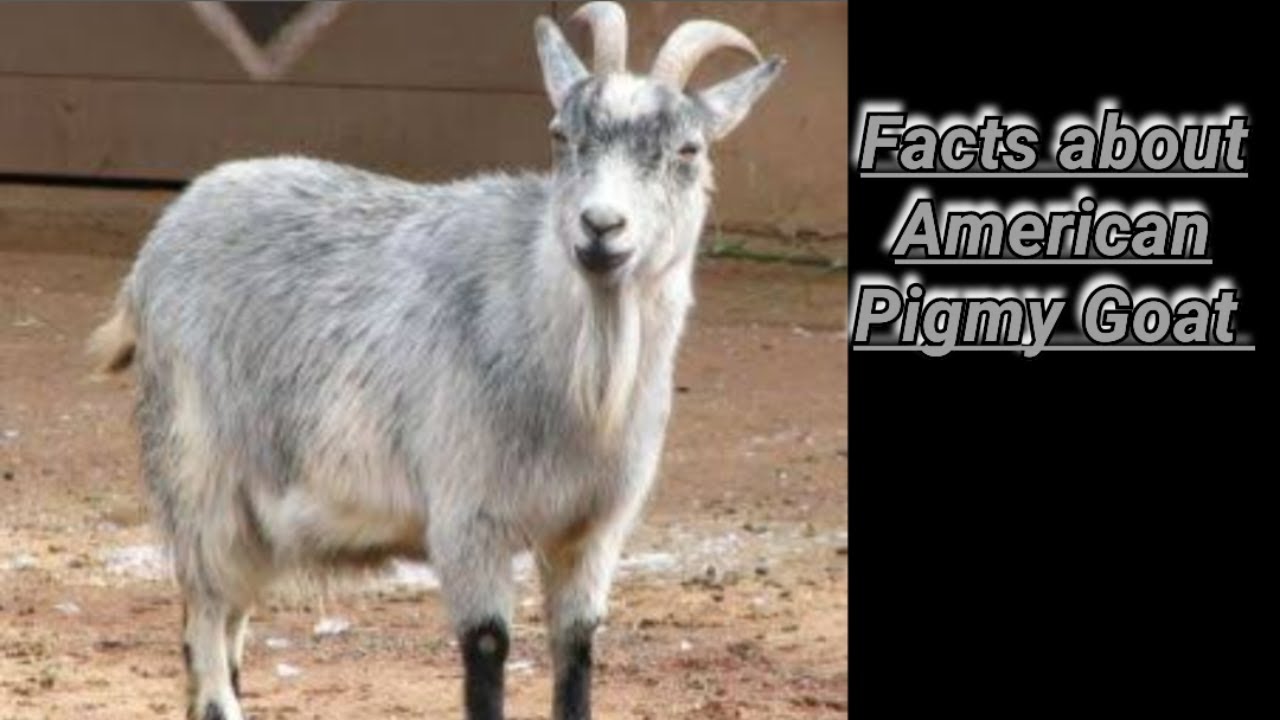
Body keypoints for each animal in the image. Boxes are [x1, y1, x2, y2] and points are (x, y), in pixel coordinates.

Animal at [88, 3, 781, 719]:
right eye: (561, 135)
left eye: (688, 150)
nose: (601, 227)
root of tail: (155, 249)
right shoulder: (467, 520)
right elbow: (487, 654)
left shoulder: (591, 533)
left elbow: (576, 658)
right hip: (196, 479)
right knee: (205, 634)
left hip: (255, 518)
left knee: (226, 631)